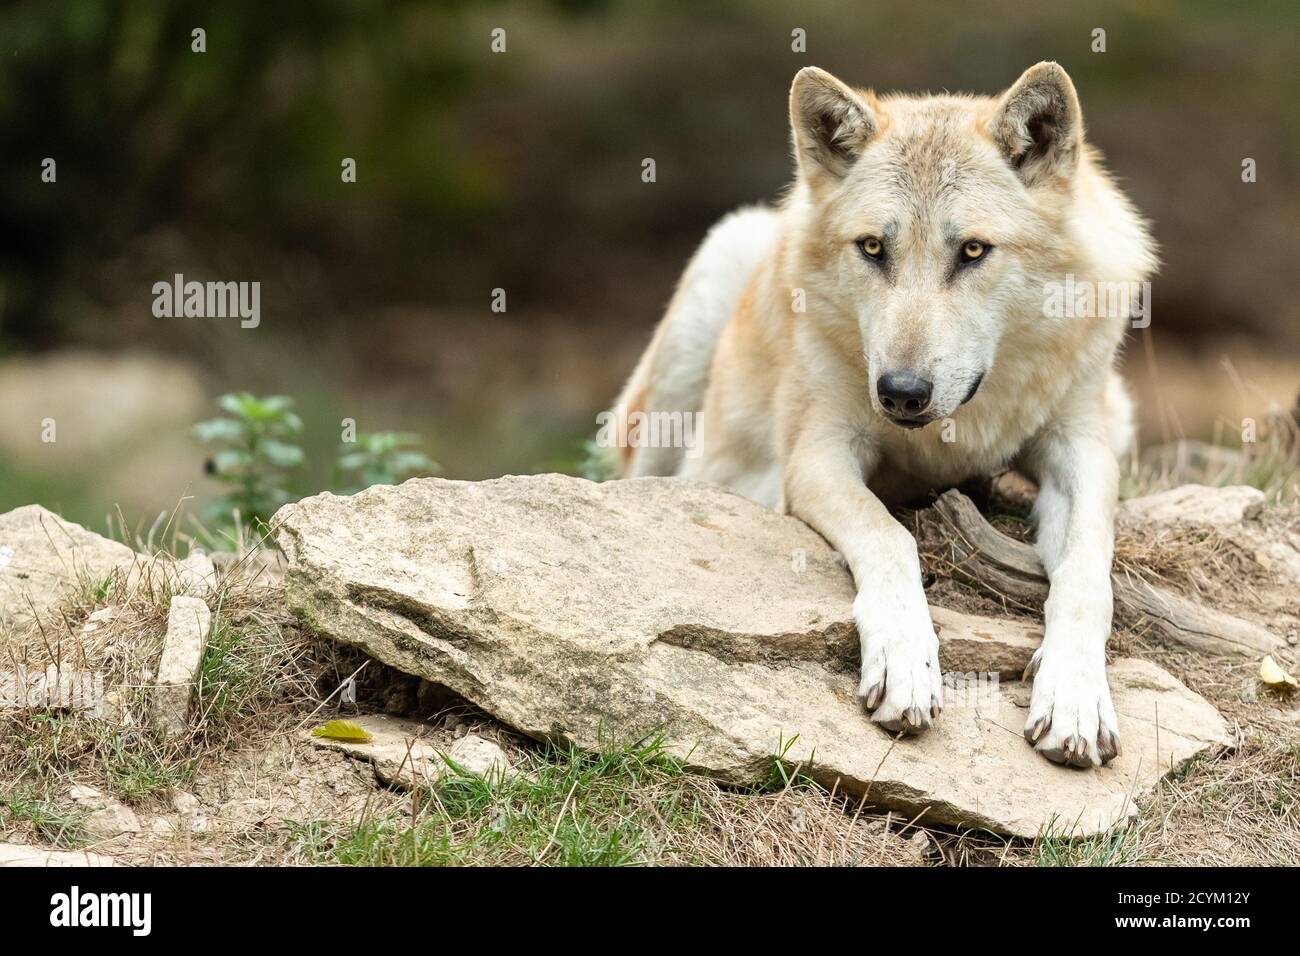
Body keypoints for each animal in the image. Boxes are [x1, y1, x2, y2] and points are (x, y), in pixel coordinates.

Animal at [612, 62, 1157, 767]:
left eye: (973, 251)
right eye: (872, 247)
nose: (900, 392)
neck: (957, 430)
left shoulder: (1082, 448)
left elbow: (1089, 572)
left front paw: (1075, 699)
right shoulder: (817, 456)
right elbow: (891, 538)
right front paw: (905, 664)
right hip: (707, 297)